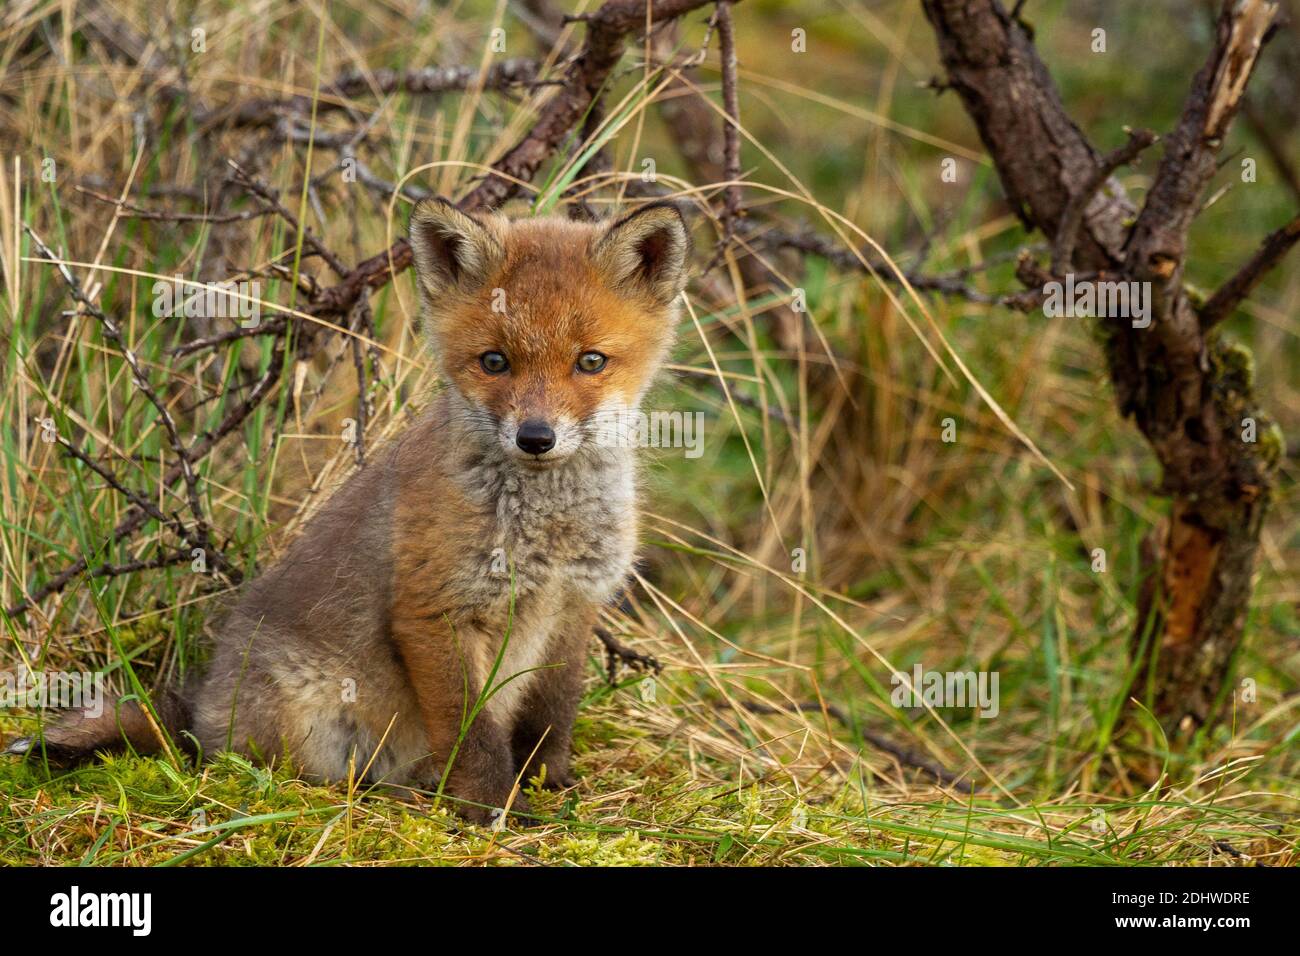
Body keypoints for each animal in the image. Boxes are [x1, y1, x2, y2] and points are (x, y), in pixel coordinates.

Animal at [6, 198, 691, 824]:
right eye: (495, 361)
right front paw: (494, 809)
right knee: (298, 773)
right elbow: (473, 734)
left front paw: (552, 784)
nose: (536, 437)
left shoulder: (574, 606)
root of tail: (204, 713)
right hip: (315, 727)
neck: (548, 531)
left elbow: (550, 718)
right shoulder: (434, 612)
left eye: (590, 361)